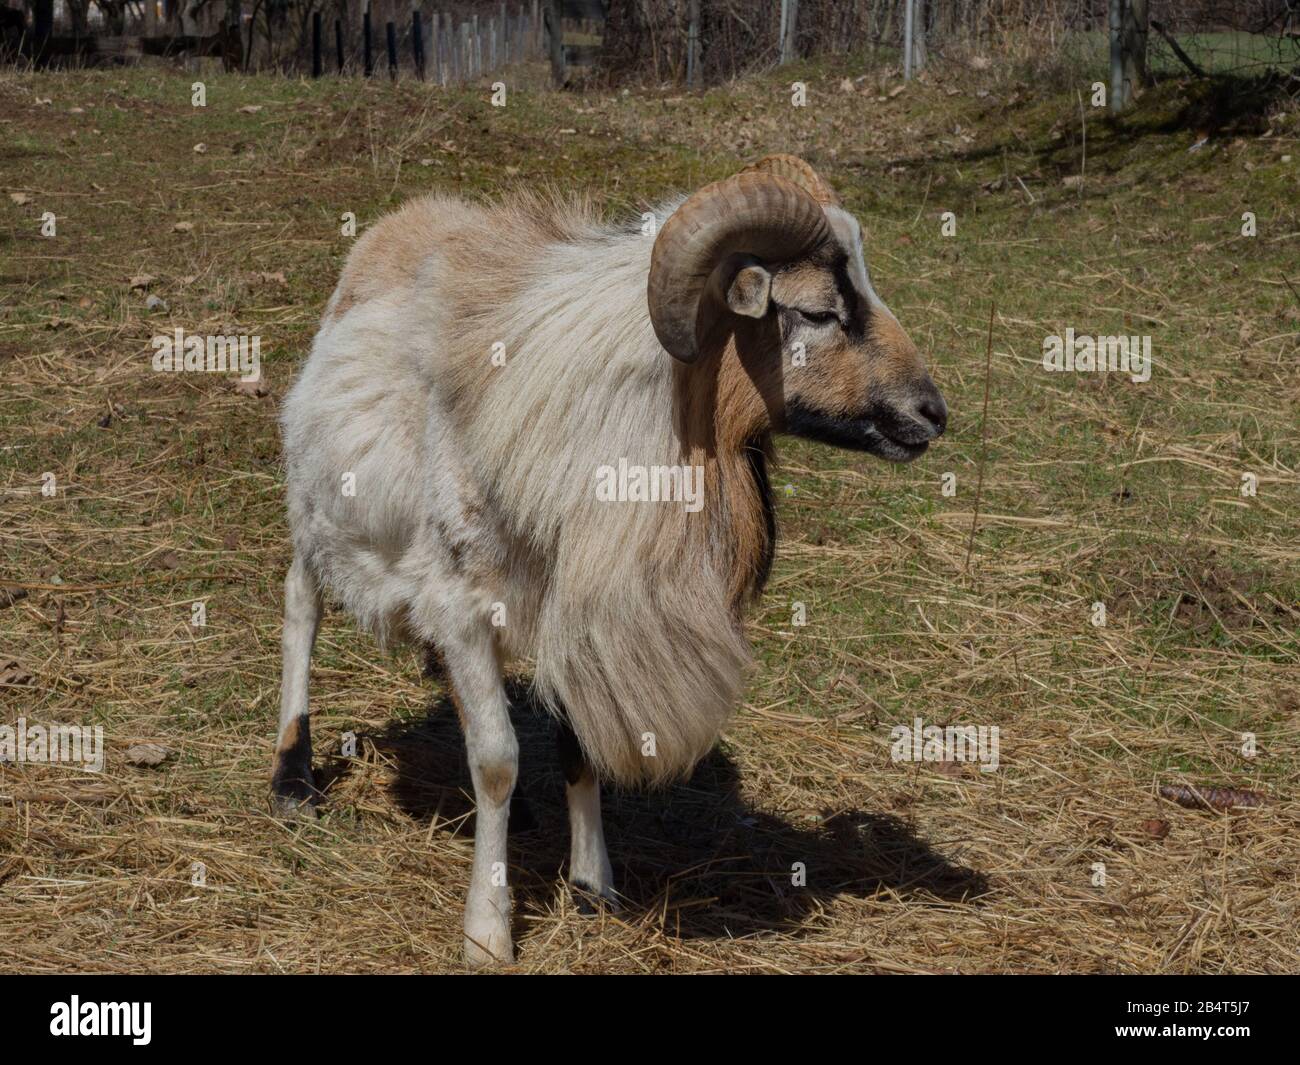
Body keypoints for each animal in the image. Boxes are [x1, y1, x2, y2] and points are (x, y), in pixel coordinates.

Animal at [275, 155, 947, 965]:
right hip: (317, 512)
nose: (931, 413)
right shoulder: (461, 607)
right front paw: (489, 933)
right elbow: (496, 759)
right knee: (300, 601)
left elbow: (577, 746)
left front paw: (594, 887)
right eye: (817, 312)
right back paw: (292, 779)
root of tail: (406, 218)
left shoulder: (579, 607)